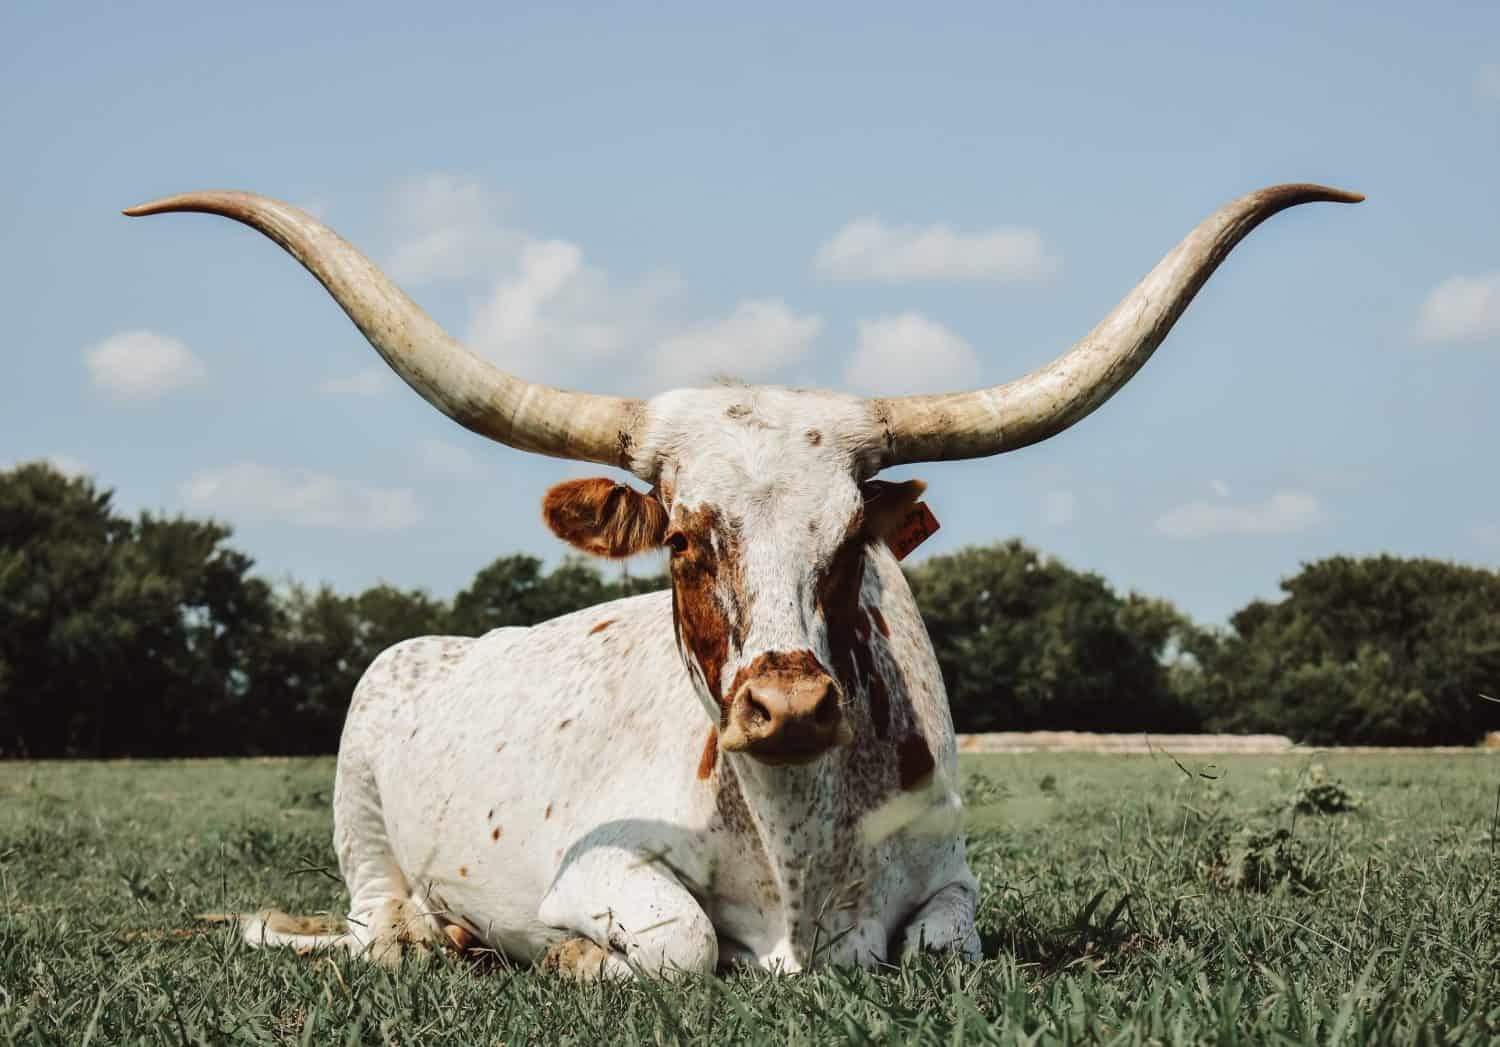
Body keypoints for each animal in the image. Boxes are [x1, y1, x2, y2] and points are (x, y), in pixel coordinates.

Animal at [125, 182, 1360, 977]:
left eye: (853, 540)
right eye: (680, 539)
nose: (790, 704)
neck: (801, 861)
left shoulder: (952, 875)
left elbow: (948, 949)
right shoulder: (593, 870)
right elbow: (676, 946)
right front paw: (571, 959)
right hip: (359, 789)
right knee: (377, 920)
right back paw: (436, 936)